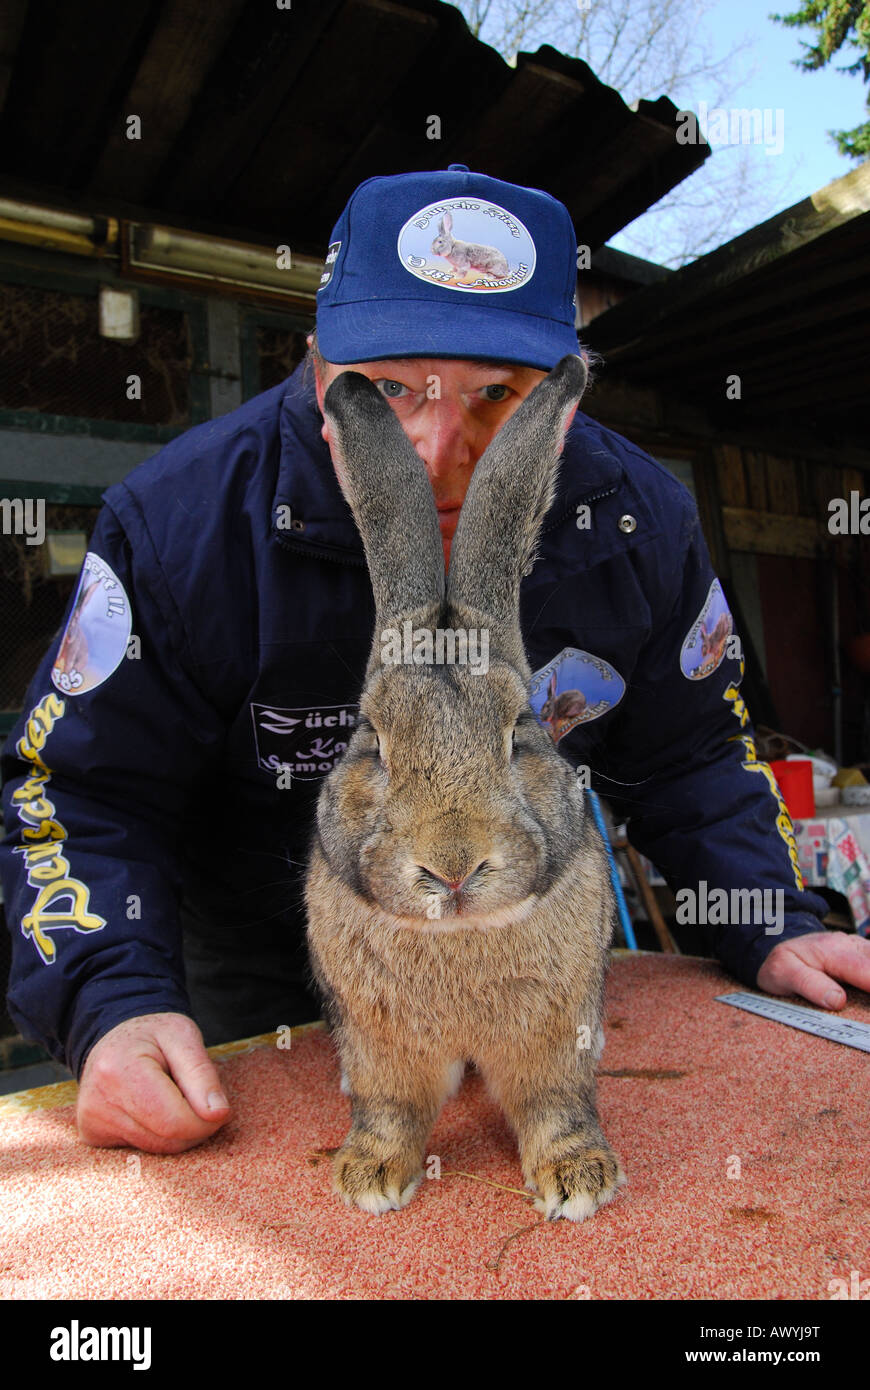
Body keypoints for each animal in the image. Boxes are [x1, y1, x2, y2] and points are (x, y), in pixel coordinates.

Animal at [304, 354, 626, 1223]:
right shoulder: (385, 1050)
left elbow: (555, 1105)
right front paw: (370, 1177)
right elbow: (391, 1109)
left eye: (519, 732)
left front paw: (579, 1181)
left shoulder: (553, 1042)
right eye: (374, 740)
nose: (451, 867)